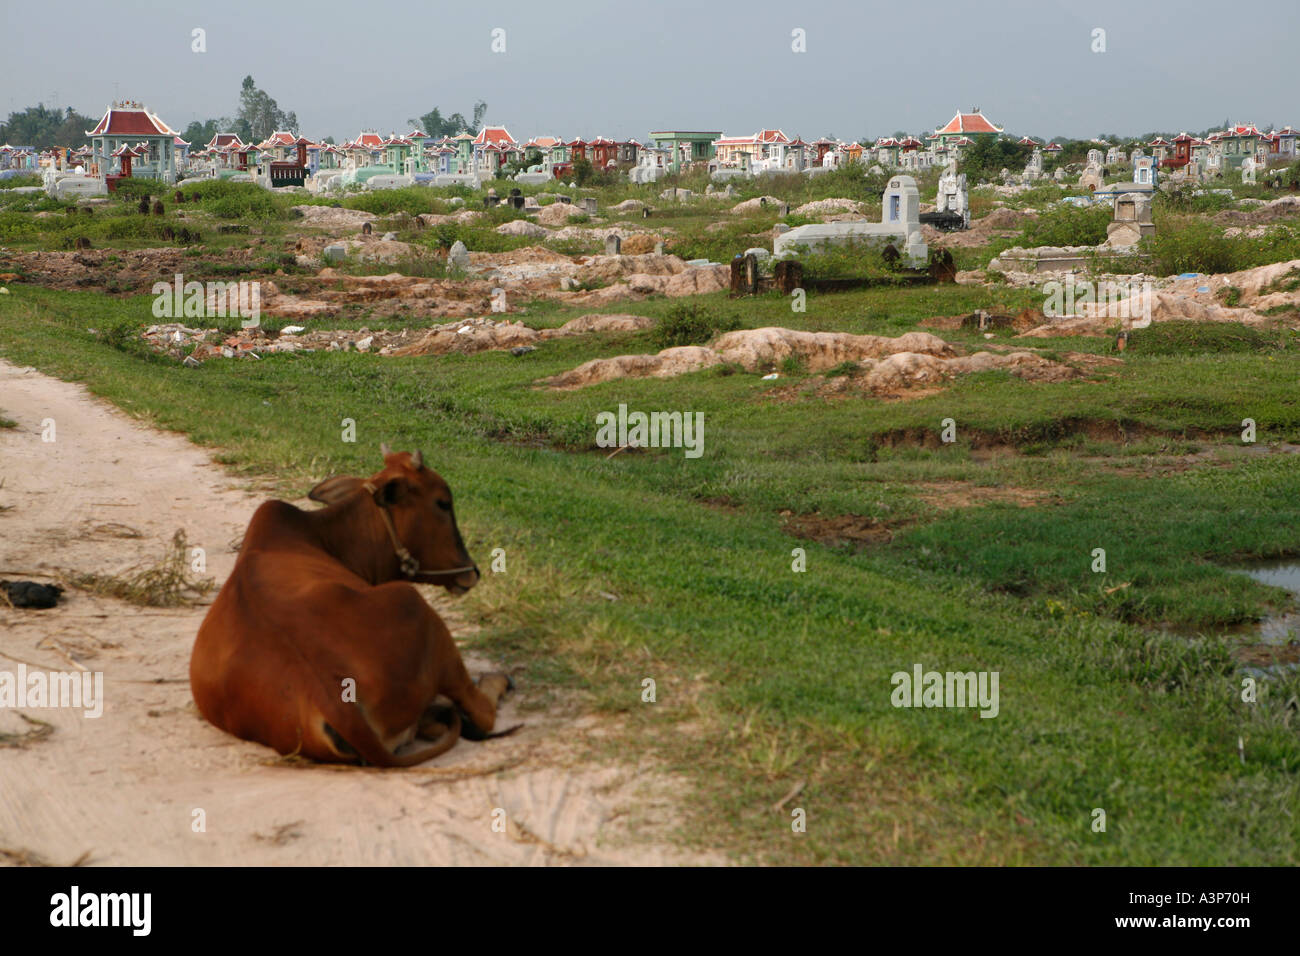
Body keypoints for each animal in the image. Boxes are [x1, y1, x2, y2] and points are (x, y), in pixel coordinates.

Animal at [190, 446, 513, 766]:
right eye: (443, 503)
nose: (473, 572)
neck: (323, 534)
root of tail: (334, 702)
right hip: (417, 609)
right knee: (480, 712)